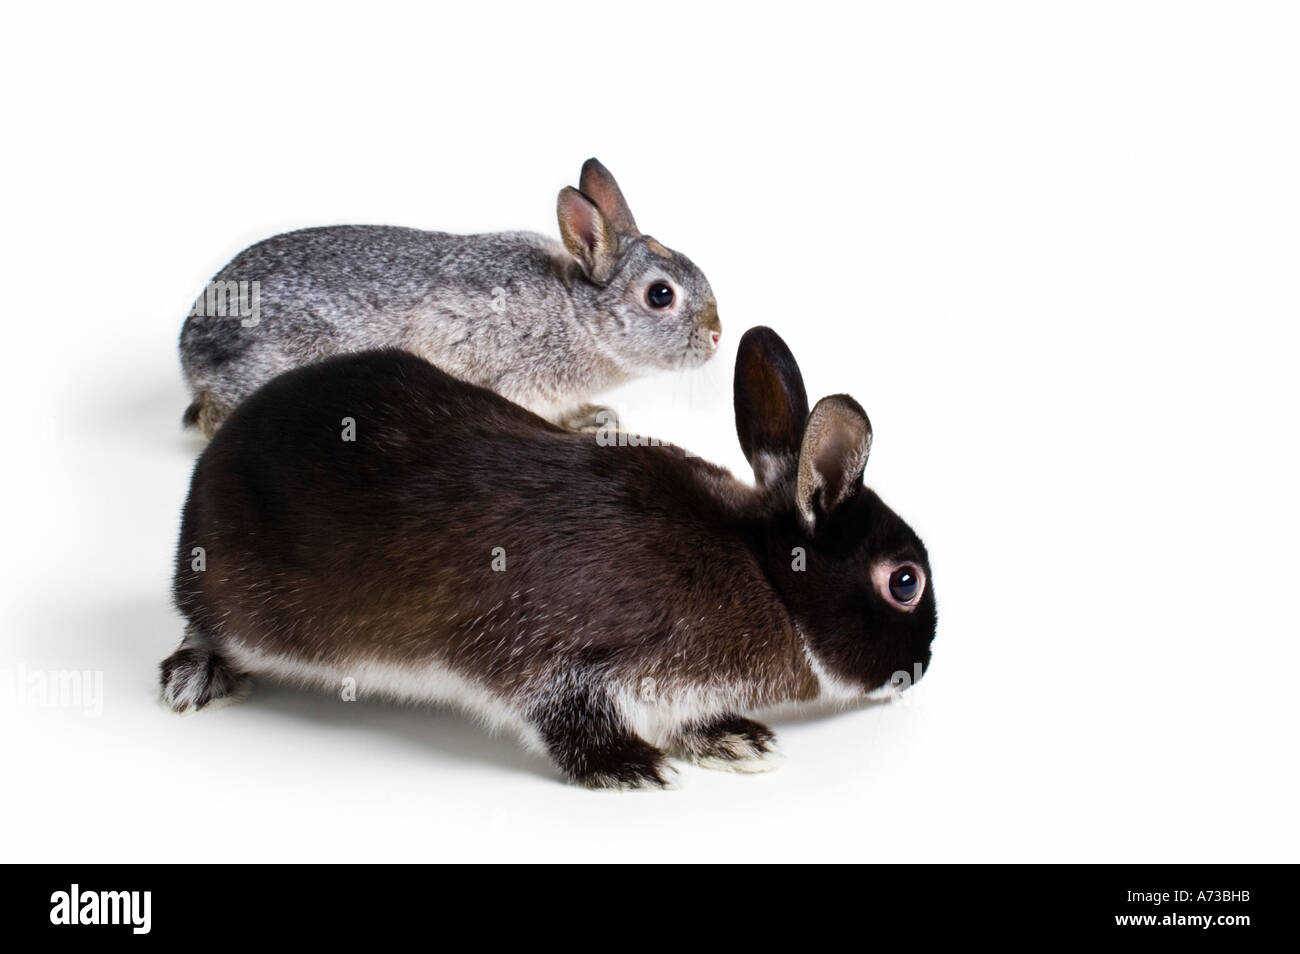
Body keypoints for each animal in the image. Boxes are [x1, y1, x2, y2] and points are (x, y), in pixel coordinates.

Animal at [162, 326, 936, 790]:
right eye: (904, 582)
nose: (922, 667)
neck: (766, 573)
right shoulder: (560, 655)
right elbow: (564, 714)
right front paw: (631, 768)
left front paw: (736, 740)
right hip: (243, 606)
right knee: (205, 625)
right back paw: (194, 677)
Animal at [178, 158, 721, 438]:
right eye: (660, 295)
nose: (717, 334)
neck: (580, 315)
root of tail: (190, 349)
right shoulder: (516, 380)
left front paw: (593, 418)